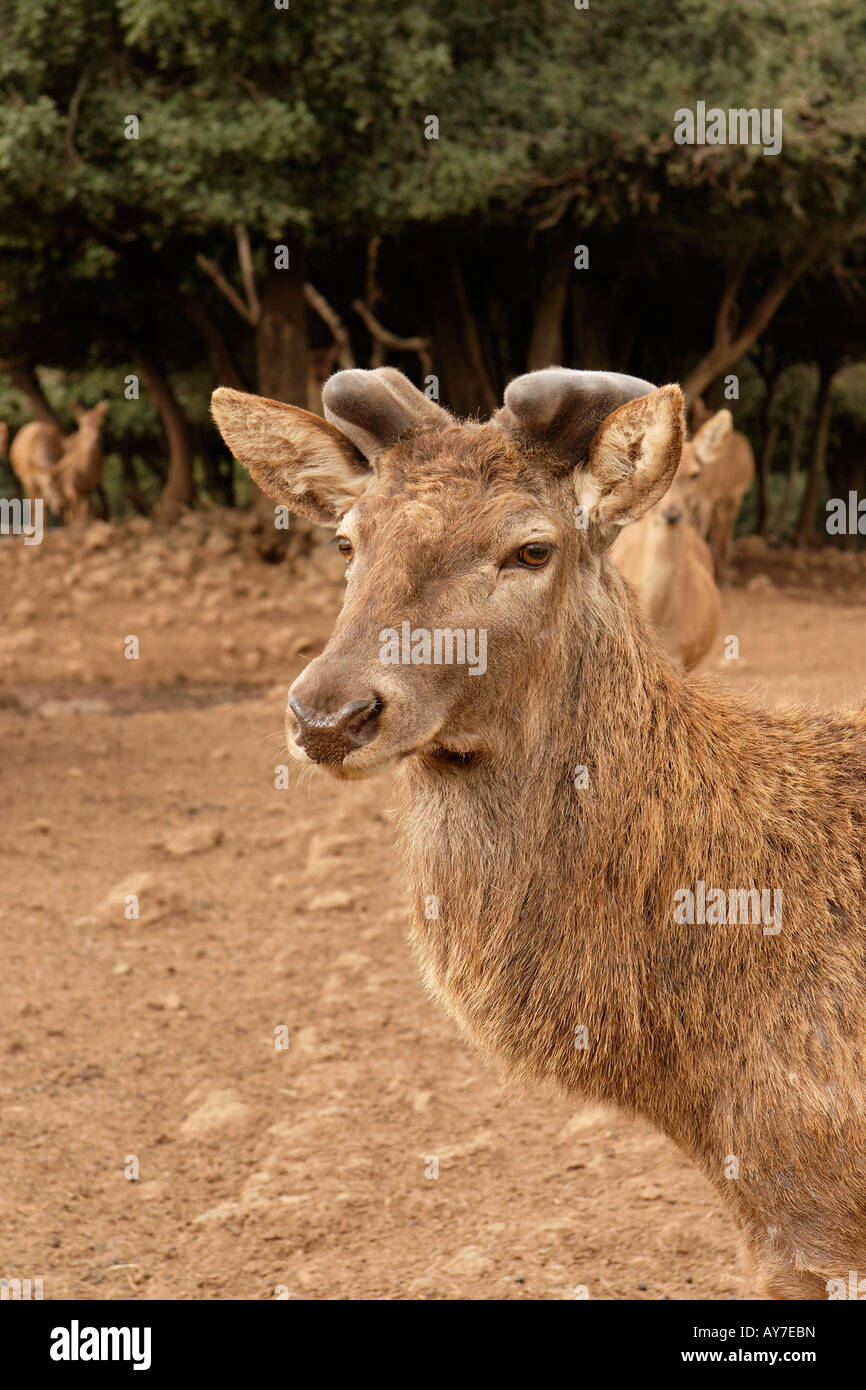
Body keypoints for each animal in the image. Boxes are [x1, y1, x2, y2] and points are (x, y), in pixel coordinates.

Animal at [689, 398, 755, 578]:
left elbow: (705, 529)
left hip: (735, 497)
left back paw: (725, 565)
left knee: (727, 526)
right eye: (693, 425)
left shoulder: (707, 500)